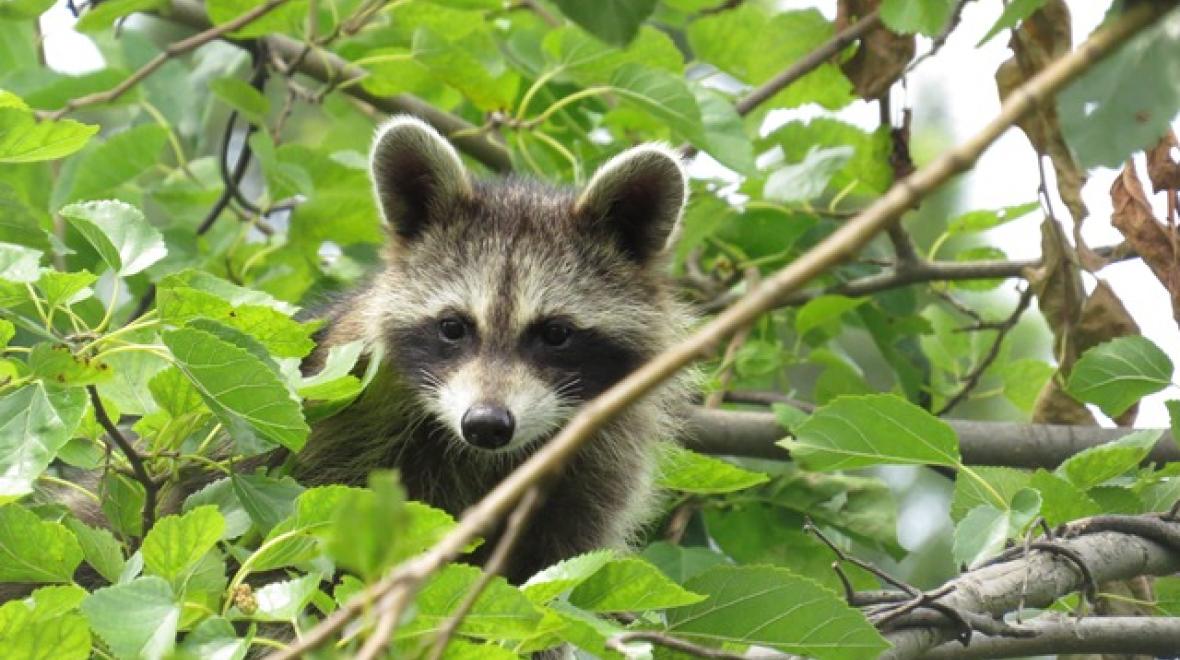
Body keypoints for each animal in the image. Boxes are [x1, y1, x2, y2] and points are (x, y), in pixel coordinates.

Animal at [292, 117, 693, 582]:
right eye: (453, 327)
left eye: (556, 333)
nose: (485, 424)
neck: (485, 458)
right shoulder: (345, 414)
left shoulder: (596, 473)